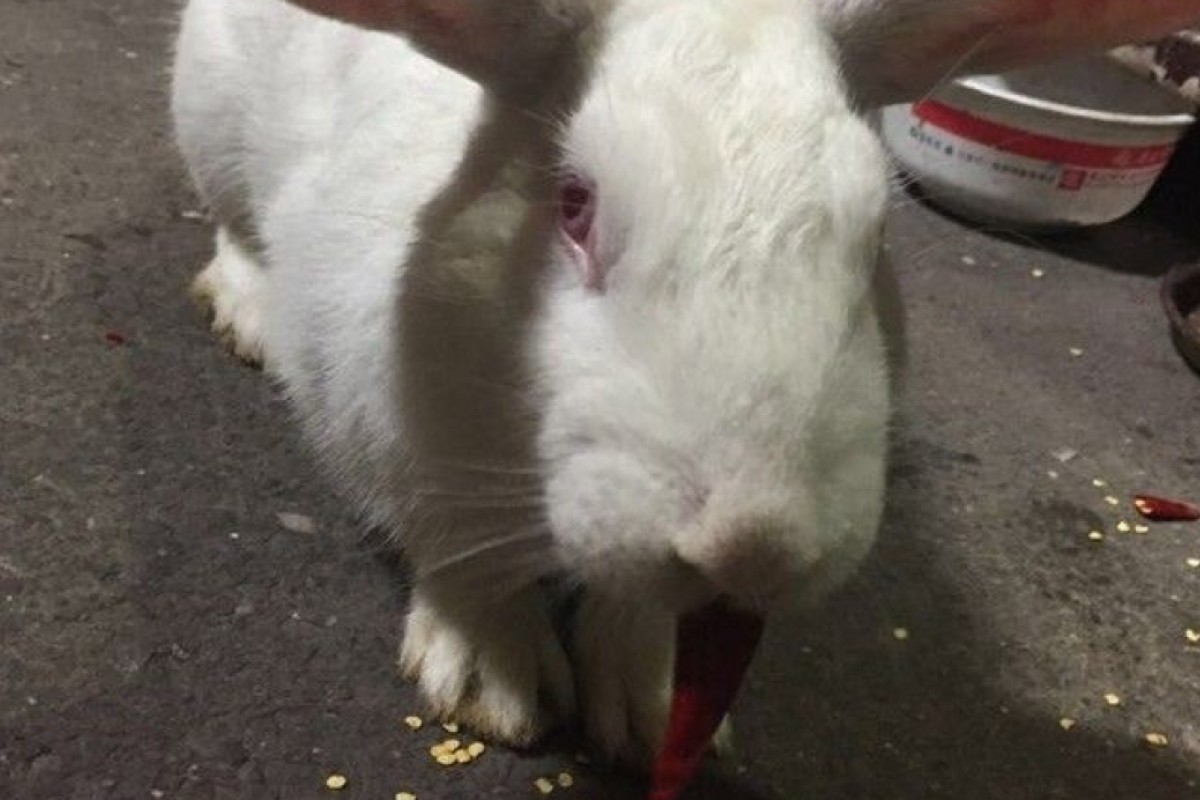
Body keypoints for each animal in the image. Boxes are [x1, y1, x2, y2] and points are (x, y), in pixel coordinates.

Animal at [172, 0, 1181, 765]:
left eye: (877, 235)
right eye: (574, 205)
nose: (753, 547)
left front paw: (648, 708)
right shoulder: (386, 420)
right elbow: (464, 559)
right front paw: (494, 684)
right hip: (208, 112)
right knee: (230, 222)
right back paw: (246, 311)